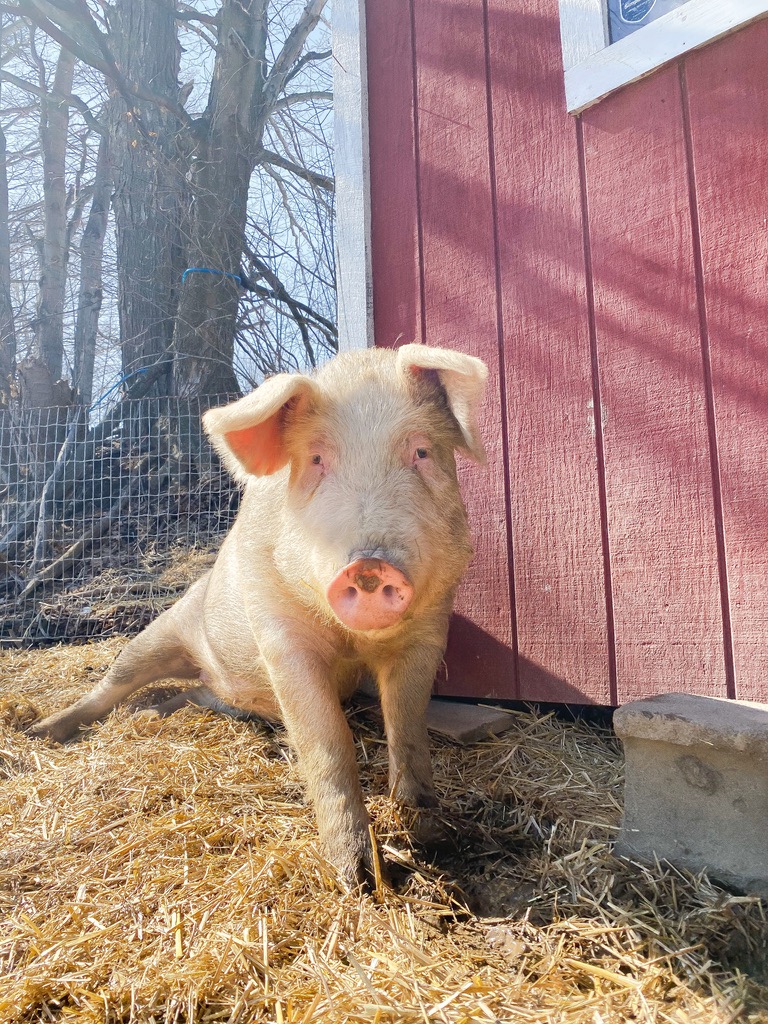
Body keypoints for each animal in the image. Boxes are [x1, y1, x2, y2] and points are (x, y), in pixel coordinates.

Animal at [30, 344, 488, 886]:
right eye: (316, 459)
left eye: (420, 452)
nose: (368, 565)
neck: (352, 643)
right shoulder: (278, 631)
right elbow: (327, 740)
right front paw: (355, 877)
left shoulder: (428, 629)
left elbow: (409, 729)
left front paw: (432, 834)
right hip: (159, 632)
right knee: (111, 685)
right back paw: (40, 731)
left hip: (213, 686)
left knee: (192, 696)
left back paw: (147, 717)